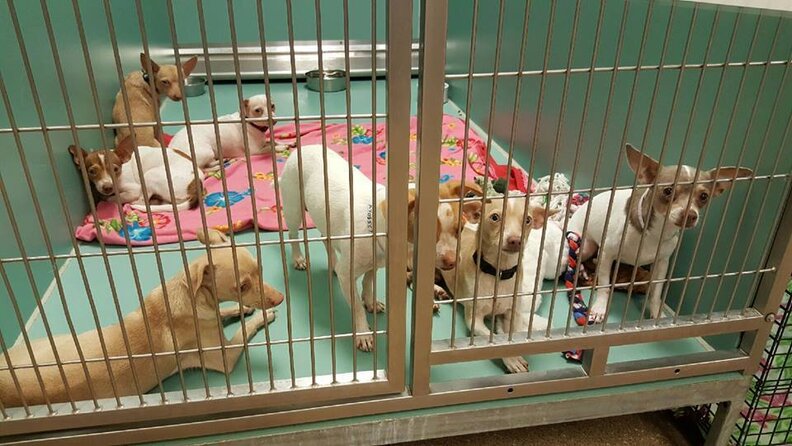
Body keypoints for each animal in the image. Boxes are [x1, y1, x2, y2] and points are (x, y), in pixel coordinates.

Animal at [0, 229, 283, 407]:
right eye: (242, 286)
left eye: (260, 269)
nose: (280, 298)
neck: (195, 296)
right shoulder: (225, 356)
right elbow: (243, 331)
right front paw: (260, 316)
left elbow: (222, 314)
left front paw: (239, 310)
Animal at [69, 136, 204, 212]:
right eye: (92, 172)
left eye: (115, 169)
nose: (107, 187)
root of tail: (197, 186)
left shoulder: (134, 189)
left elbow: (116, 198)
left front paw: (109, 198)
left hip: (149, 176)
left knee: (143, 201)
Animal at [440, 196, 556, 373]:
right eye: (495, 217)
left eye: (528, 220)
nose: (515, 240)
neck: (498, 273)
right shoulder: (475, 319)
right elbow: (492, 339)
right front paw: (511, 360)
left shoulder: (512, 313)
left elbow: (510, 336)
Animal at [568, 144, 753, 323]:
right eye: (668, 191)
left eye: (704, 196)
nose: (690, 215)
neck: (655, 234)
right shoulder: (607, 254)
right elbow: (605, 286)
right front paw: (600, 309)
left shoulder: (661, 263)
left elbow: (656, 293)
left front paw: (657, 315)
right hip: (586, 246)